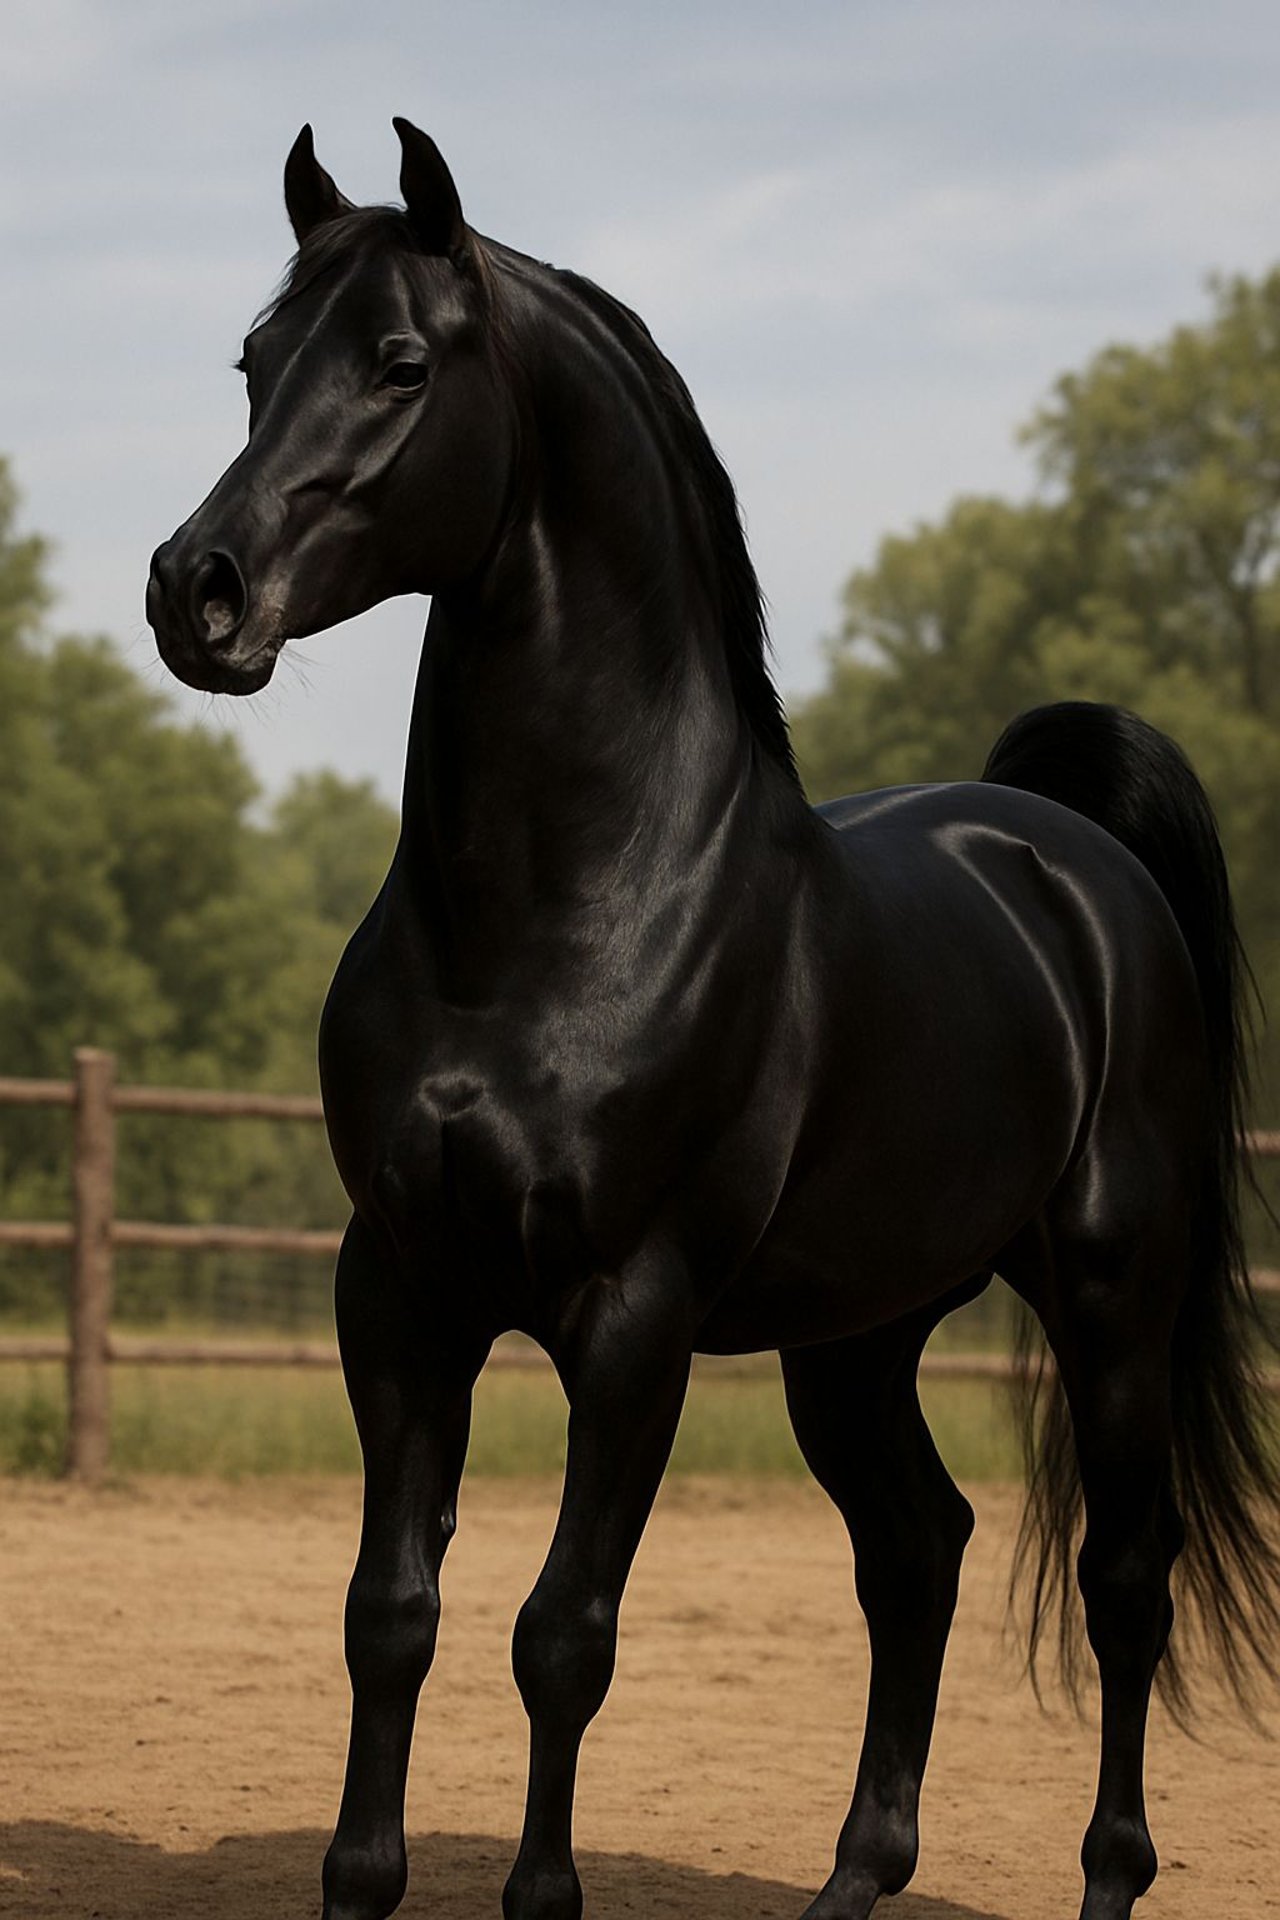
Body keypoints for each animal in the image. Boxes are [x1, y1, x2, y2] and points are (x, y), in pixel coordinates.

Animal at [146, 120, 1279, 1920]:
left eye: (401, 364)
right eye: (257, 363)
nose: (198, 591)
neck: (550, 918)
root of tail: (1063, 855)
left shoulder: (634, 1316)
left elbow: (563, 1638)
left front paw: (544, 1897)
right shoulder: (397, 1287)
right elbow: (389, 1617)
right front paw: (360, 1880)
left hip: (1113, 1301)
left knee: (1122, 1578)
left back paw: (1108, 1877)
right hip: (857, 1335)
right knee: (919, 1552)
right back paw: (852, 1882)